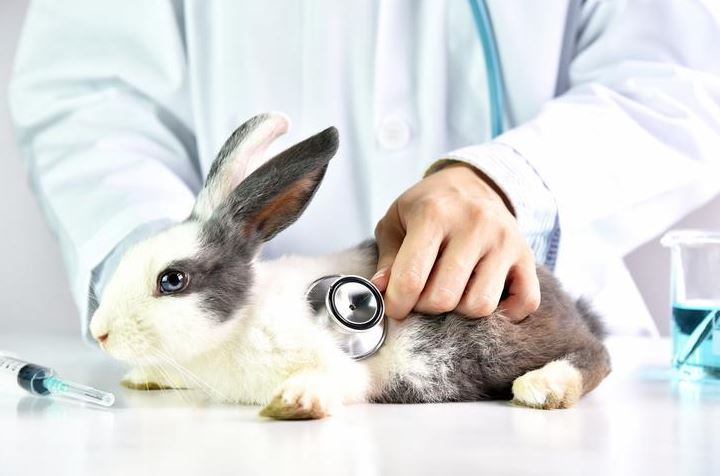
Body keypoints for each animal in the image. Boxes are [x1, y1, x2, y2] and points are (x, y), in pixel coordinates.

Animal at [90, 112, 611, 419]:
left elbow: (332, 381)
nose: (99, 332)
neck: (239, 324)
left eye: (172, 279)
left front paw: (294, 401)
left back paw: (544, 387)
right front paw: (141, 377)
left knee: (596, 356)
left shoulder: (339, 365)